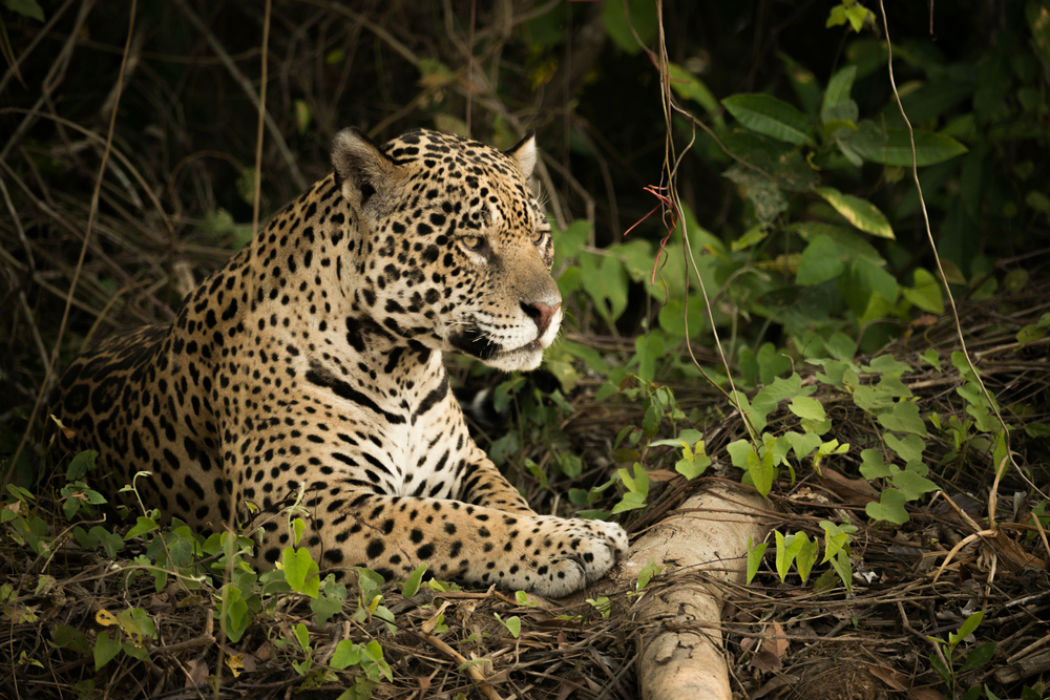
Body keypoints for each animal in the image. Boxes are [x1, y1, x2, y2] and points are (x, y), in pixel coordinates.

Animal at [57, 127, 628, 597]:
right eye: (472, 243)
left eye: (540, 238)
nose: (549, 310)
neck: (402, 366)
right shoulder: (300, 507)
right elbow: (450, 521)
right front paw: (576, 538)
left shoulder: (466, 460)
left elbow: (501, 501)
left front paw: (554, 528)